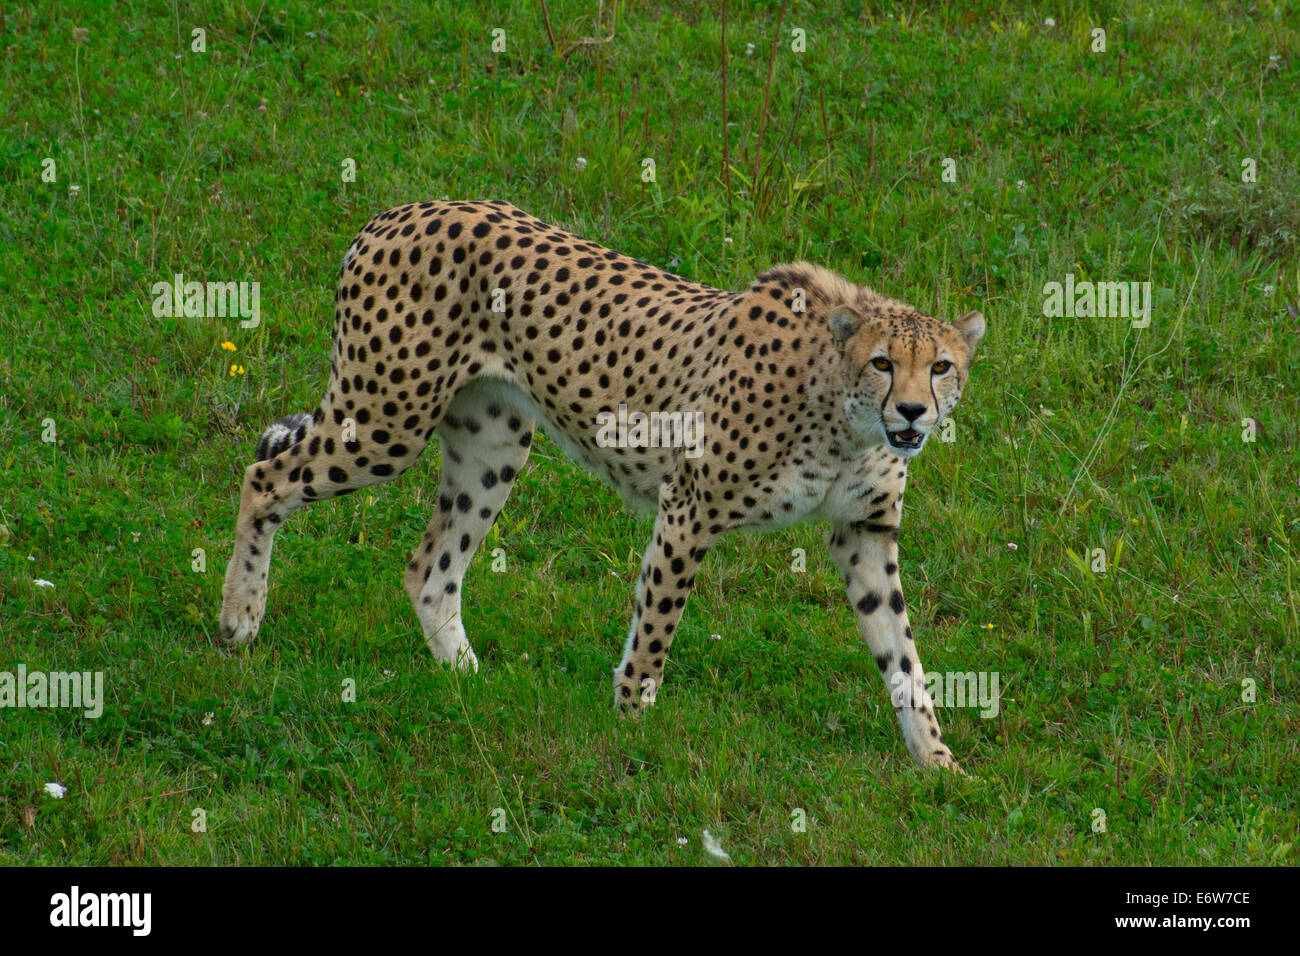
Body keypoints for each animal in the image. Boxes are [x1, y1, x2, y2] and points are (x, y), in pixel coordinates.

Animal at [219, 199, 986, 770]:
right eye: (884, 363)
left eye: (941, 366)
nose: (912, 411)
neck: (844, 417)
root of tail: (400, 211)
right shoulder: (689, 509)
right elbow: (655, 631)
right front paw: (630, 730)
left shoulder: (865, 533)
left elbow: (903, 655)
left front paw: (938, 764)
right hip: (384, 422)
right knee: (263, 476)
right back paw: (239, 620)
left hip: (495, 441)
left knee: (429, 565)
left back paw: (467, 678)